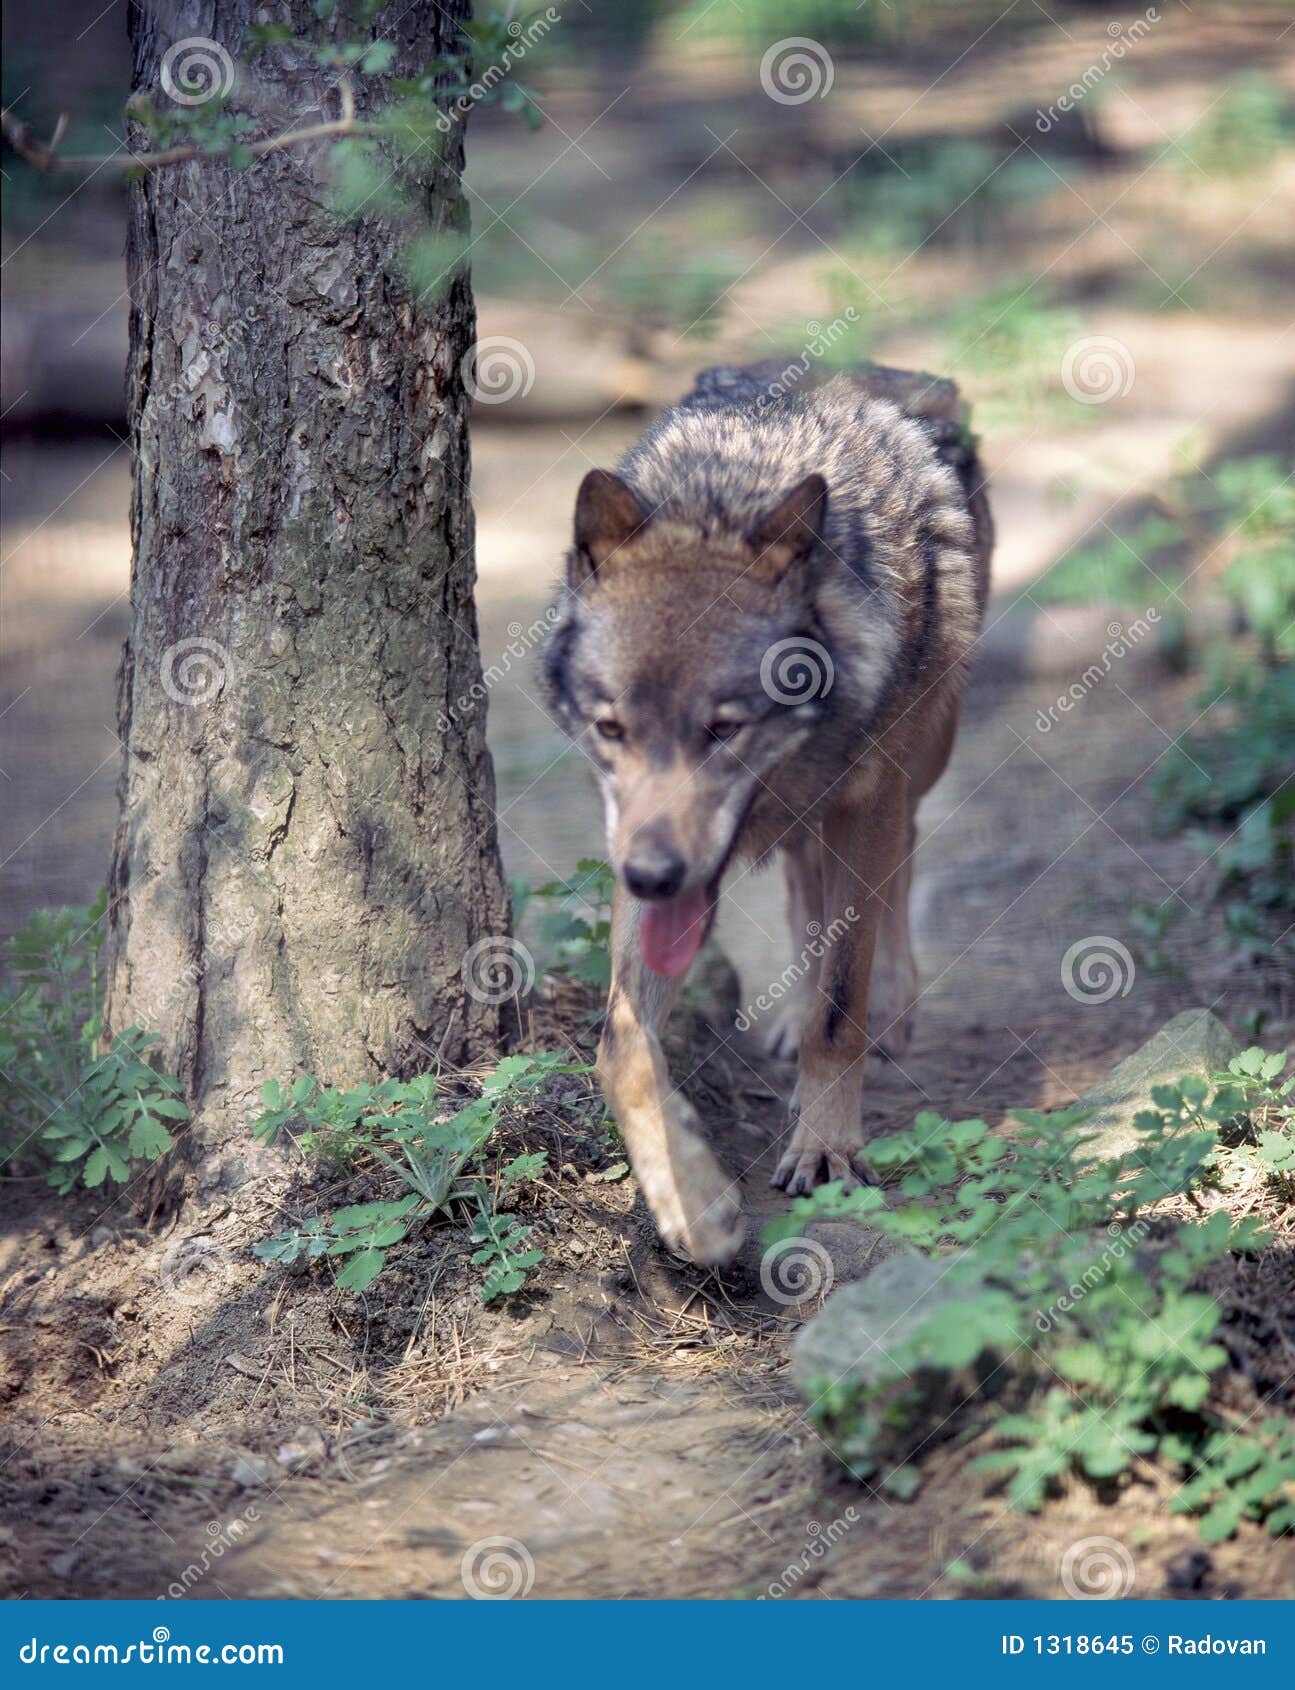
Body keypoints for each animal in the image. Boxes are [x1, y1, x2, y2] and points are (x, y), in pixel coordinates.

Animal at [542, 361, 992, 1265]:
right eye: (612, 729)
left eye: (723, 728)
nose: (651, 875)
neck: (724, 492)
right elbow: (620, 1047)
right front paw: (694, 1205)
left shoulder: (864, 800)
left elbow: (839, 1012)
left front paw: (826, 1149)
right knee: (800, 888)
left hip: (915, 762)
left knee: (899, 860)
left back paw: (893, 1008)